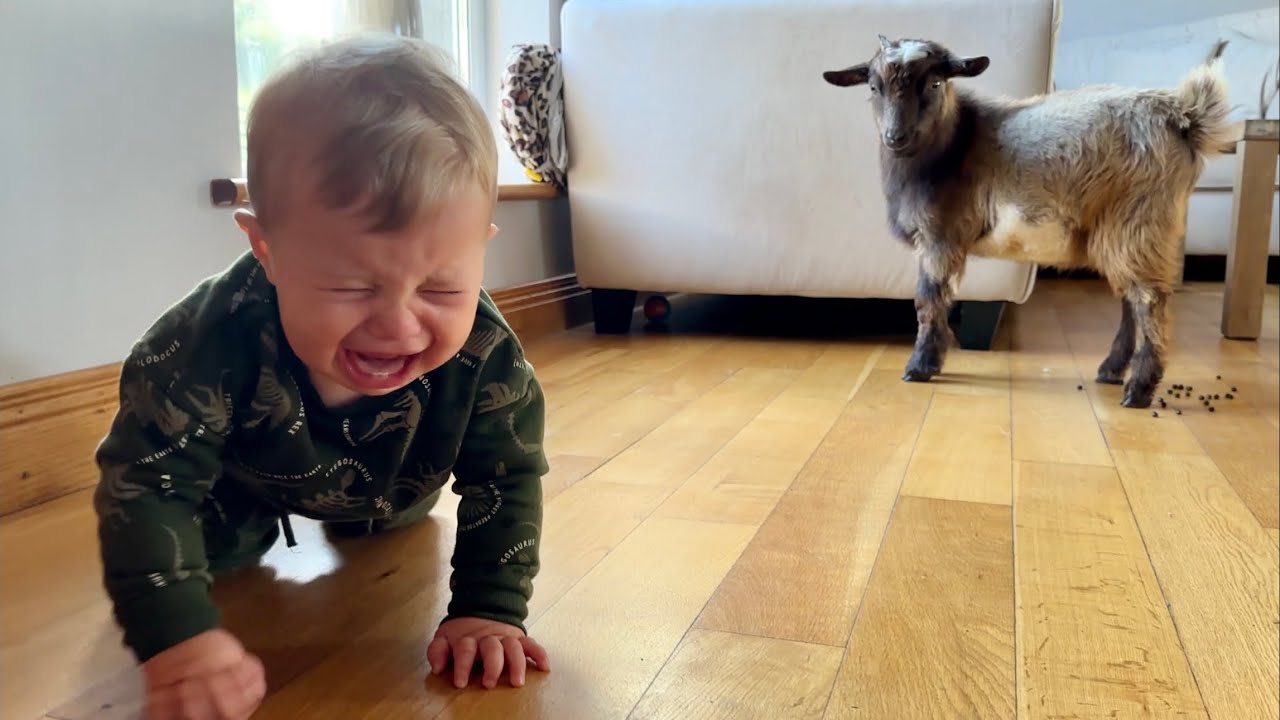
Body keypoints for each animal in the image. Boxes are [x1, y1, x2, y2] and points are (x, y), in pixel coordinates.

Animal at [822, 36, 1234, 408]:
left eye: (935, 83)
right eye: (873, 86)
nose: (895, 137)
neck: (954, 143)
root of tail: (1182, 116)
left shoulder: (940, 238)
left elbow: (928, 300)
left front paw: (920, 367)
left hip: (1140, 222)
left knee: (1148, 300)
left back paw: (1139, 390)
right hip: (1123, 234)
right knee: (1131, 300)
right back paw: (1111, 371)